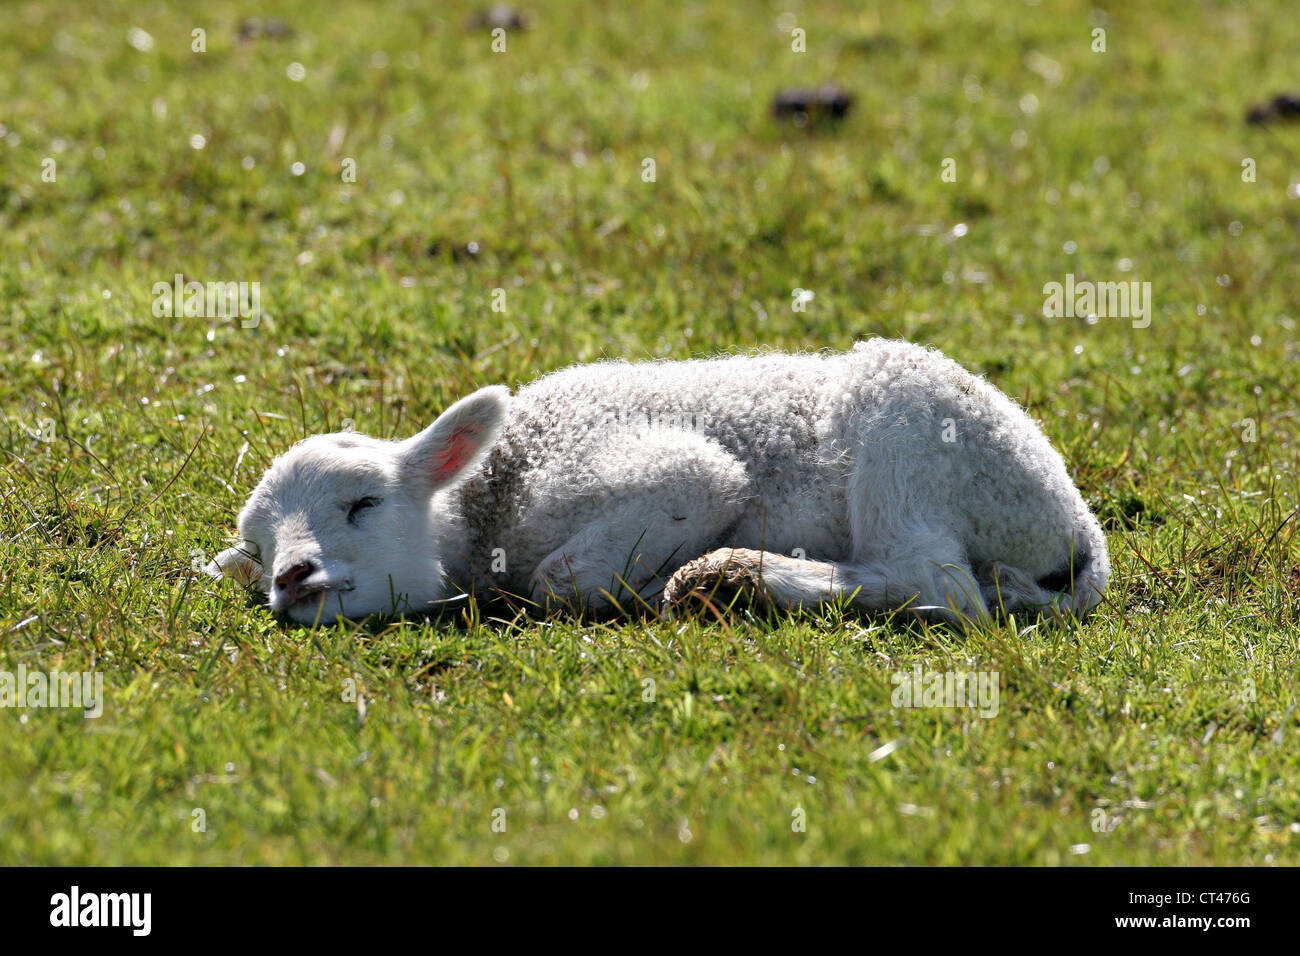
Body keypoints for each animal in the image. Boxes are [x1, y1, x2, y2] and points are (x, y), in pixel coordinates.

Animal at [206, 339, 1110, 626]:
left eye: (365, 502)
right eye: (257, 547)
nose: (292, 577)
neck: (494, 501)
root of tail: (1080, 535)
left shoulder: (685, 476)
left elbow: (561, 576)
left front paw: (646, 591)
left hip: (909, 435)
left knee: (940, 585)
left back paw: (730, 578)